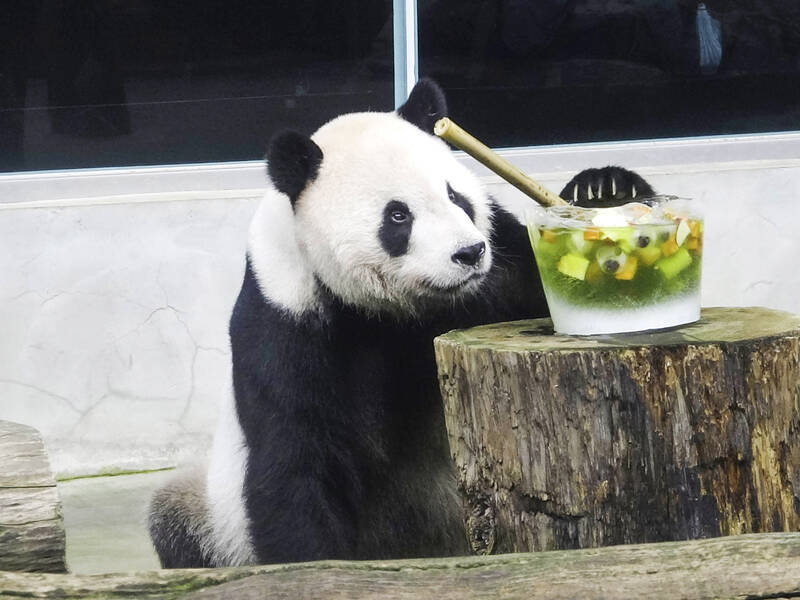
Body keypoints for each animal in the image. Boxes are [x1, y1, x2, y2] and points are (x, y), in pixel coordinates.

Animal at [147, 78, 654, 567]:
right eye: (397, 215)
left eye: (455, 197)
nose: (469, 253)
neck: (398, 312)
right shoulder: (287, 320)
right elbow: (294, 459)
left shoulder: (499, 269)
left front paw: (607, 192)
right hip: (211, 513)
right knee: (174, 522)